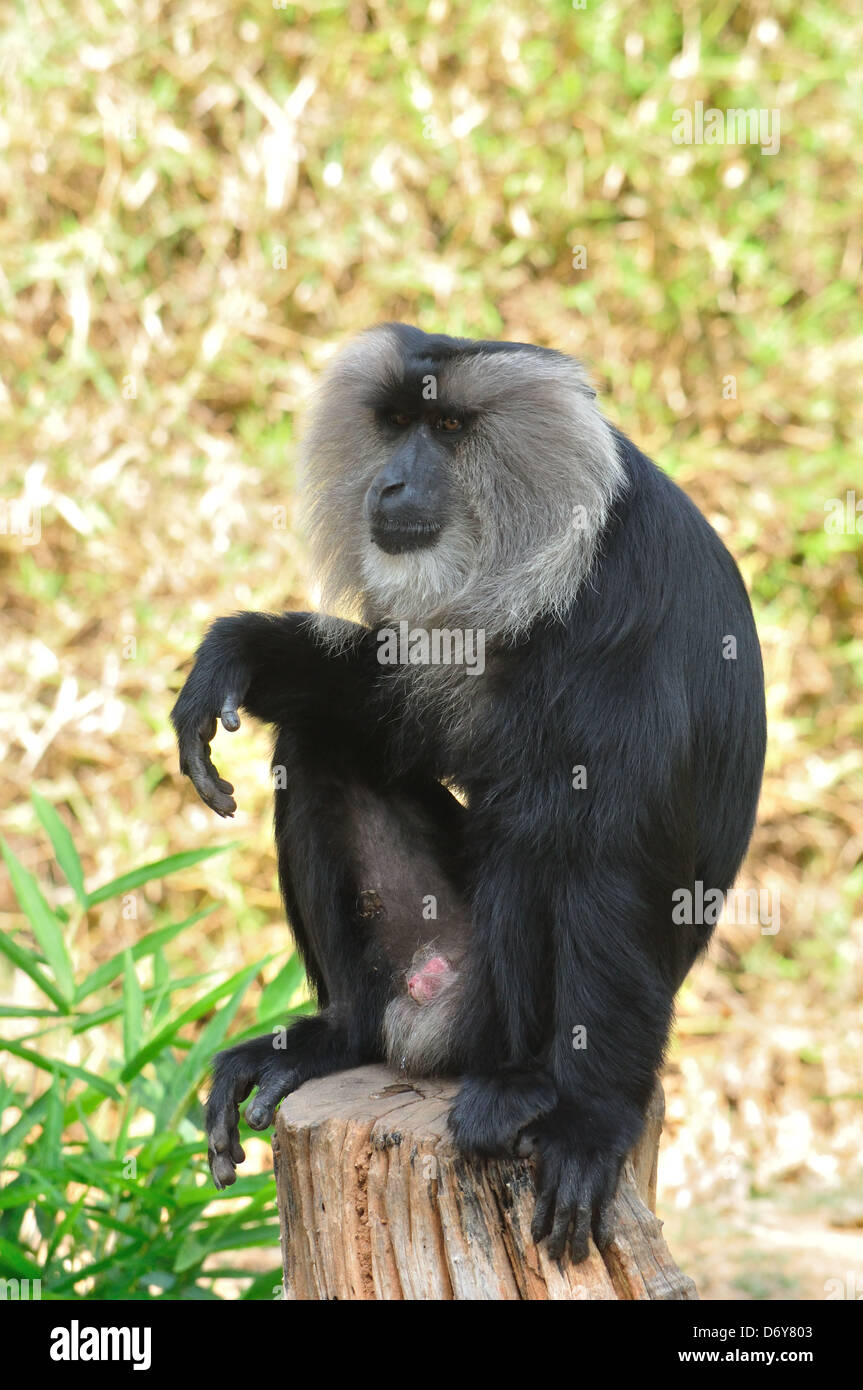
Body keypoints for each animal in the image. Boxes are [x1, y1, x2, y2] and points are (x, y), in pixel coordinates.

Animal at [171, 323, 766, 1263]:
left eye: (448, 427)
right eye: (394, 425)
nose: (390, 483)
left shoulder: (624, 607)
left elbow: (615, 852)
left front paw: (590, 1124)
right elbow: (392, 721)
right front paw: (242, 650)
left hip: (483, 1004)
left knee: (542, 833)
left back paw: (525, 1084)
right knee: (319, 743)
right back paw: (337, 1037)